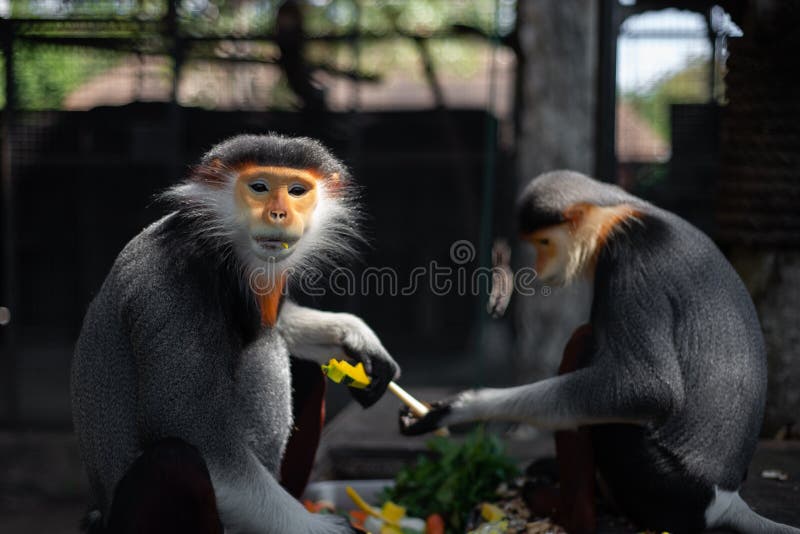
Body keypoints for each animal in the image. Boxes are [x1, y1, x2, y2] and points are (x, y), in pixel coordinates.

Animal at [71, 134, 400, 533]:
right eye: (259, 188)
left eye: (297, 191)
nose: (278, 214)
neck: (222, 248)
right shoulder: (170, 287)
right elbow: (197, 436)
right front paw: (325, 528)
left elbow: (281, 322)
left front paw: (352, 335)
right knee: (175, 459)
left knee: (302, 366)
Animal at [400, 170, 800, 534]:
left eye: (544, 242)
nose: (538, 267)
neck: (622, 213)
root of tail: (724, 499)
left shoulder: (631, 257)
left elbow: (649, 389)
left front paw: (463, 407)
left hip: (656, 483)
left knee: (583, 342)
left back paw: (565, 511)